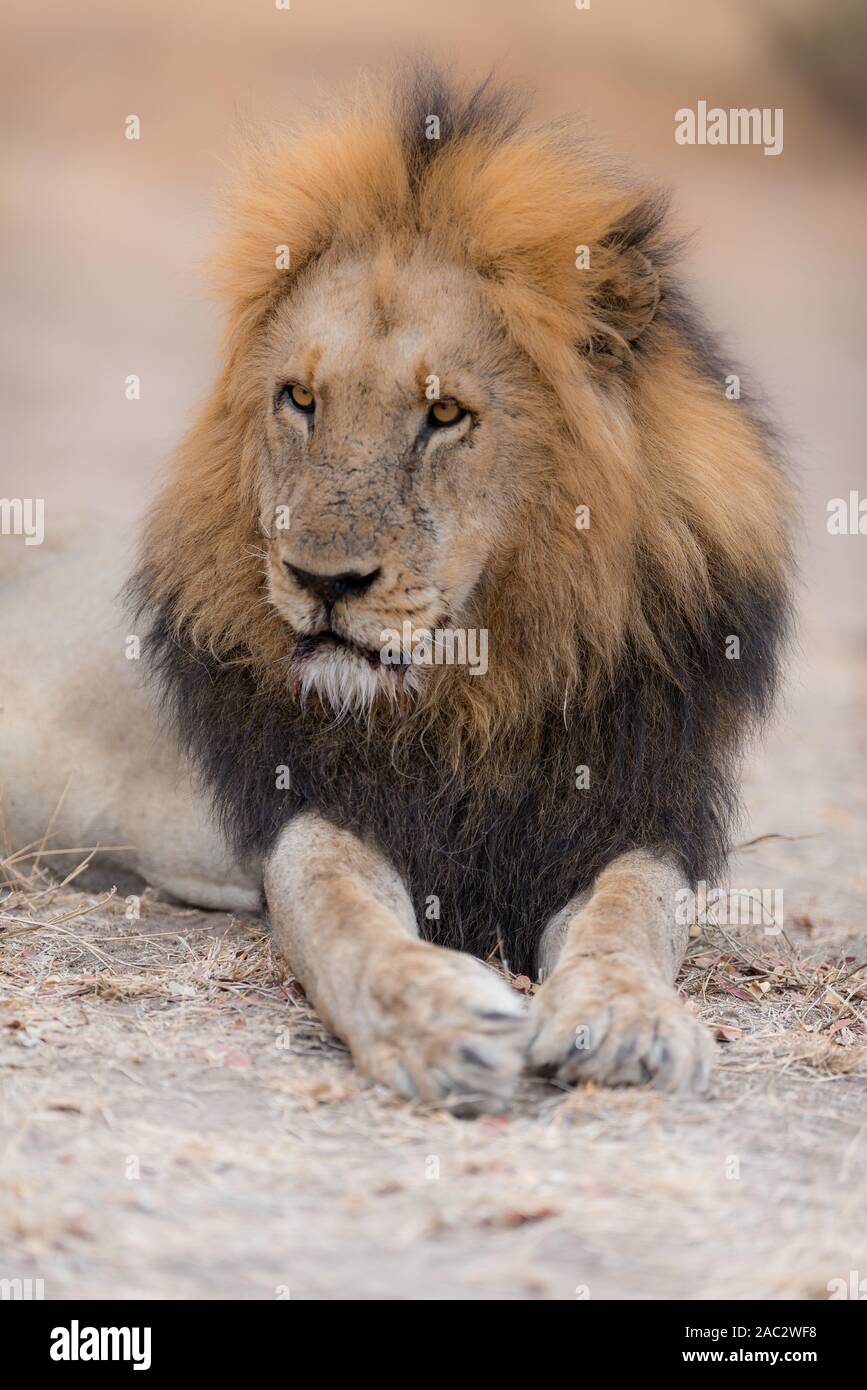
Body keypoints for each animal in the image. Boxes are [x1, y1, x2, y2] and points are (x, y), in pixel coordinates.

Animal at [1, 71, 794, 1112]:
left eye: (445, 413)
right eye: (300, 400)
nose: (321, 582)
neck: (484, 690)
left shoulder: (635, 815)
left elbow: (628, 920)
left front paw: (629, 1020)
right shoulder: (310, 809)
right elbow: (342, 920)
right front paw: (436, 1022)